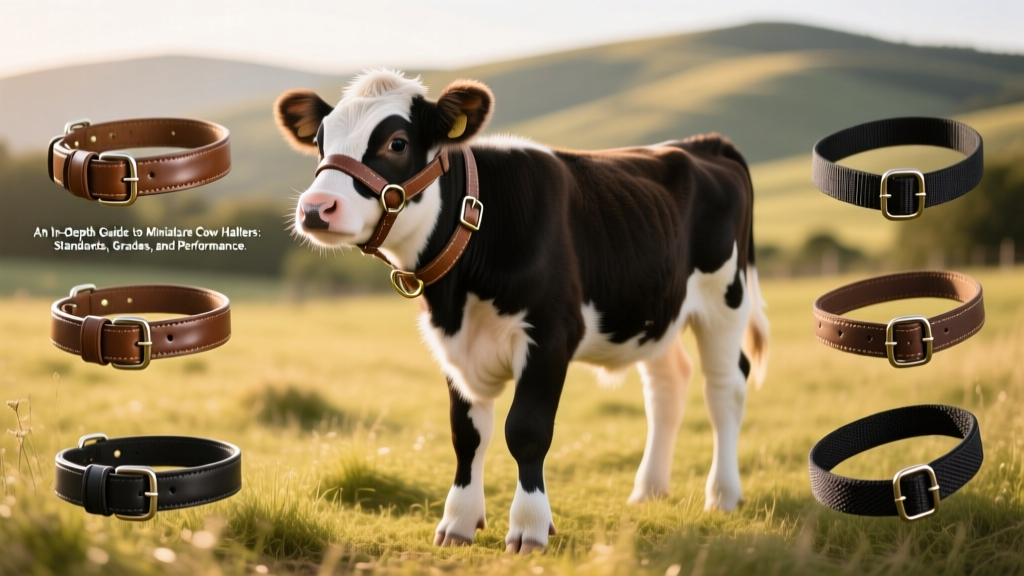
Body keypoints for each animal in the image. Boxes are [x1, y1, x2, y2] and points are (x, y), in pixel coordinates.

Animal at [274, 69, 769, 554]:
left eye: (396, 143)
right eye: (320, 141)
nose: (316, 209)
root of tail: (701, 143)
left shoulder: (550, 335)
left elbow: (527, 431)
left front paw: (530, 528)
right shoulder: (454, 346)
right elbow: (466, 434)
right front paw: (457, 523)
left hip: (725, 300)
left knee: (725, 388)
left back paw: (723, 495)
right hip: (654, 310)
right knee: (667, 385)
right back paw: (648, 491)